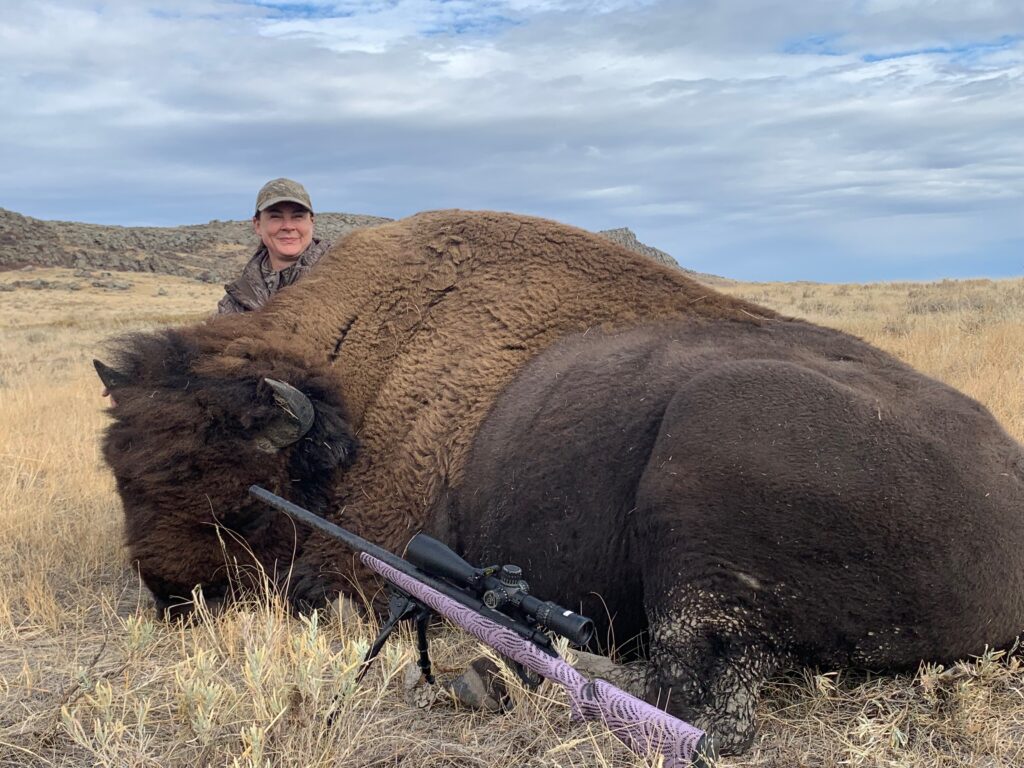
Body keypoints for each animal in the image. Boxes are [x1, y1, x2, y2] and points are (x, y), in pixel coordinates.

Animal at [96, 210, 1024, 754]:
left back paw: (485, 677)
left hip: (709, 440)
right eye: (123, 479)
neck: (358, 392)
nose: (171, 597)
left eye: (239, 503)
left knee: (700, 696)